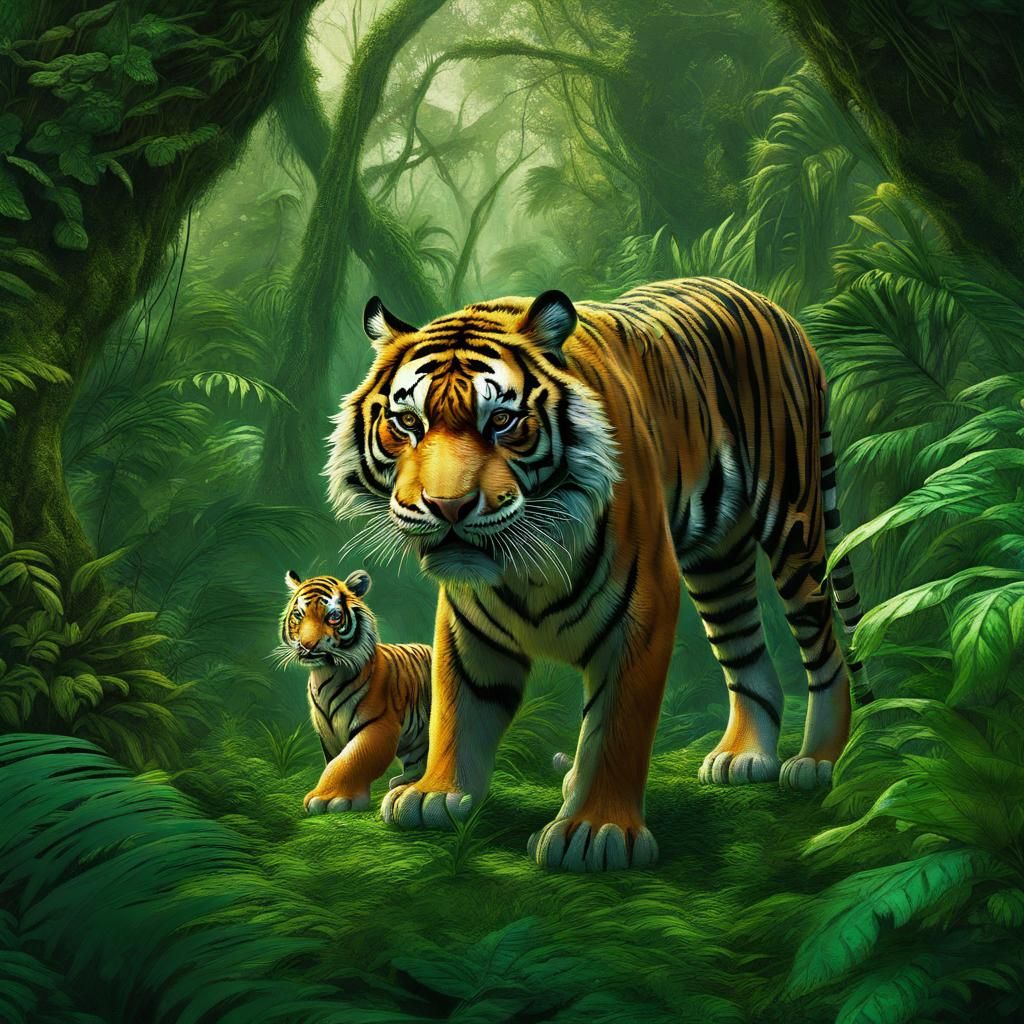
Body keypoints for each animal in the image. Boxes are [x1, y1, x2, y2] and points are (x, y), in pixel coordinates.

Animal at [279, 568, 433, 815]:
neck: (325, 674)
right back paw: (405, 780)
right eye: (298, 615)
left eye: (333, 616)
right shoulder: (327, 732)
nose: (307, 646)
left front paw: (328, 799)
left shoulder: (378, 724)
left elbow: (349, 761)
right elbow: (334, 761)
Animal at [325, 277, 871, 872]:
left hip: (794, 528)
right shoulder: (468, 622)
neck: (526, 561)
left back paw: (819, 760)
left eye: (501, 421)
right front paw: (435, 793)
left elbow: (616, 726)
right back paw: (745, 757)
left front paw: (595, 830)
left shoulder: (642, 608)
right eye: (408, 422)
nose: (448, 507)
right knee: (747, 654)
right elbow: (458, 705)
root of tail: (774, 308)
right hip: (718, 561)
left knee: (825, 649)